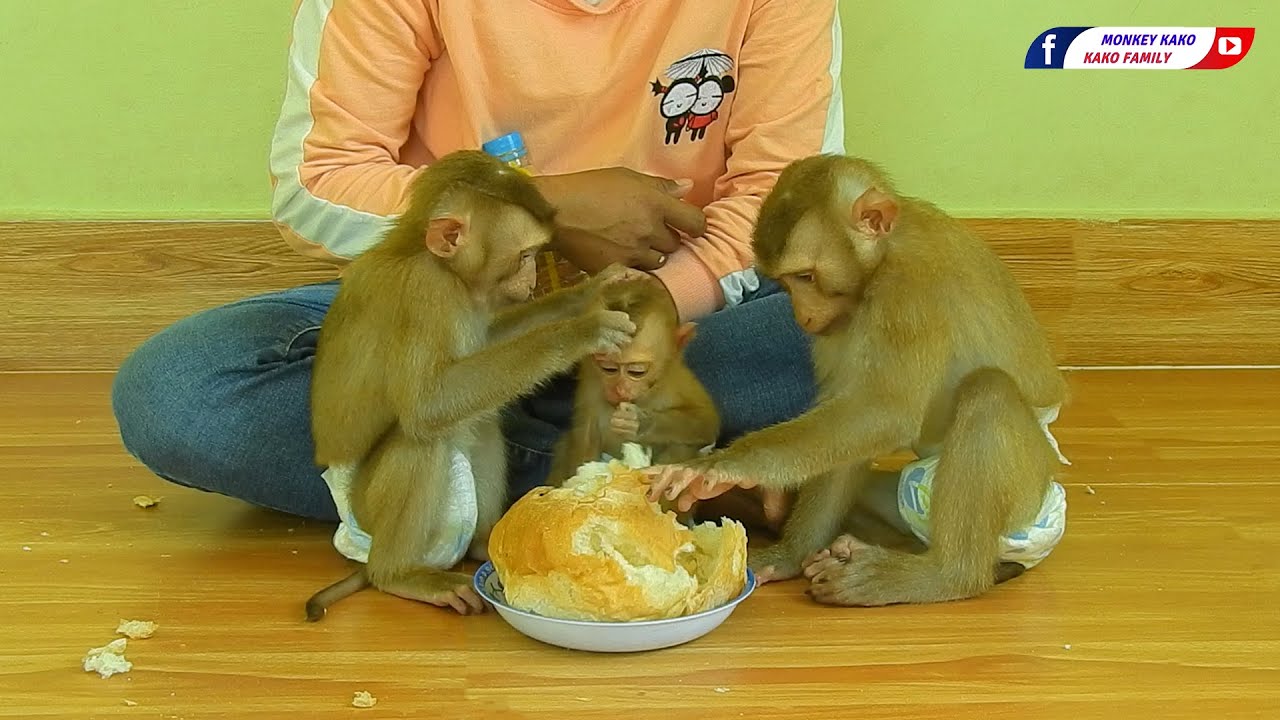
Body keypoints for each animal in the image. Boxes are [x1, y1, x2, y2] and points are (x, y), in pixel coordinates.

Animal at [304, 150, 641, 620]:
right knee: (421, 440)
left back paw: (487, 544)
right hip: (364, 511)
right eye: (525, 256)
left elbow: (489, 340)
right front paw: (582, 330)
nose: (532, 281)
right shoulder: (425, 294)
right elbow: (428, 404)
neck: (430, 259)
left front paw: (589, 292)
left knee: (481, 424)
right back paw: (398, 575)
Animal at [547, 273, 720, 486]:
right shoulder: (590, 383)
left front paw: (640, 421)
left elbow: (707, 422)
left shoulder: (675, 383)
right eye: (608, 368)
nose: (620, 389)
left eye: (637, 372)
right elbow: (585, 432)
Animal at [643, 154, 1070, 607]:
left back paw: (942, 576)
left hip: (1026, 497)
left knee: (989, 391)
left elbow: (884, 413)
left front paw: (723, 466)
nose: (802, 316)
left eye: (806, 277)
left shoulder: (907, 295)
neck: (880, 261)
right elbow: (850, 424)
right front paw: (789, 555)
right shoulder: (841, 322)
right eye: (786, 282)